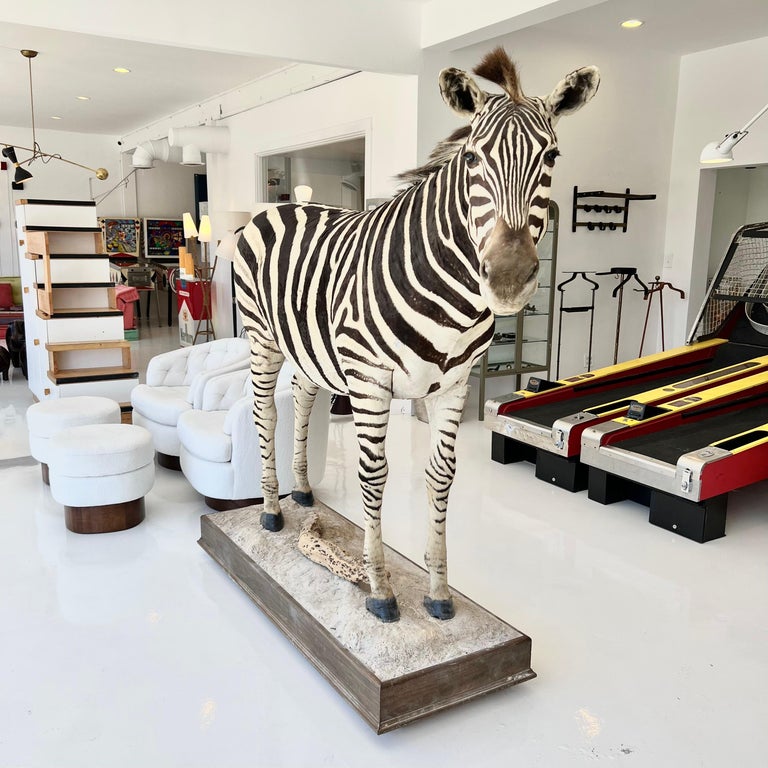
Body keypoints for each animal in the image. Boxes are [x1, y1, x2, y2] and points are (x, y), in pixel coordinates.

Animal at [235, 47, 599, 623]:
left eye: (553, 157)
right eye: (472, 159)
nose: (508, 278)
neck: (453, 302)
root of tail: (282, 204)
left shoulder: (454, 385)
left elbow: (441, 475)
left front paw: (439, 591)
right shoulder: (369, 381)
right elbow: (375, 475)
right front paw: (380, 588)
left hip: (310, 348)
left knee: (303, 399)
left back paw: (303, 491)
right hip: (262, 338)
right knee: (266, 413)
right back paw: (271, 508)